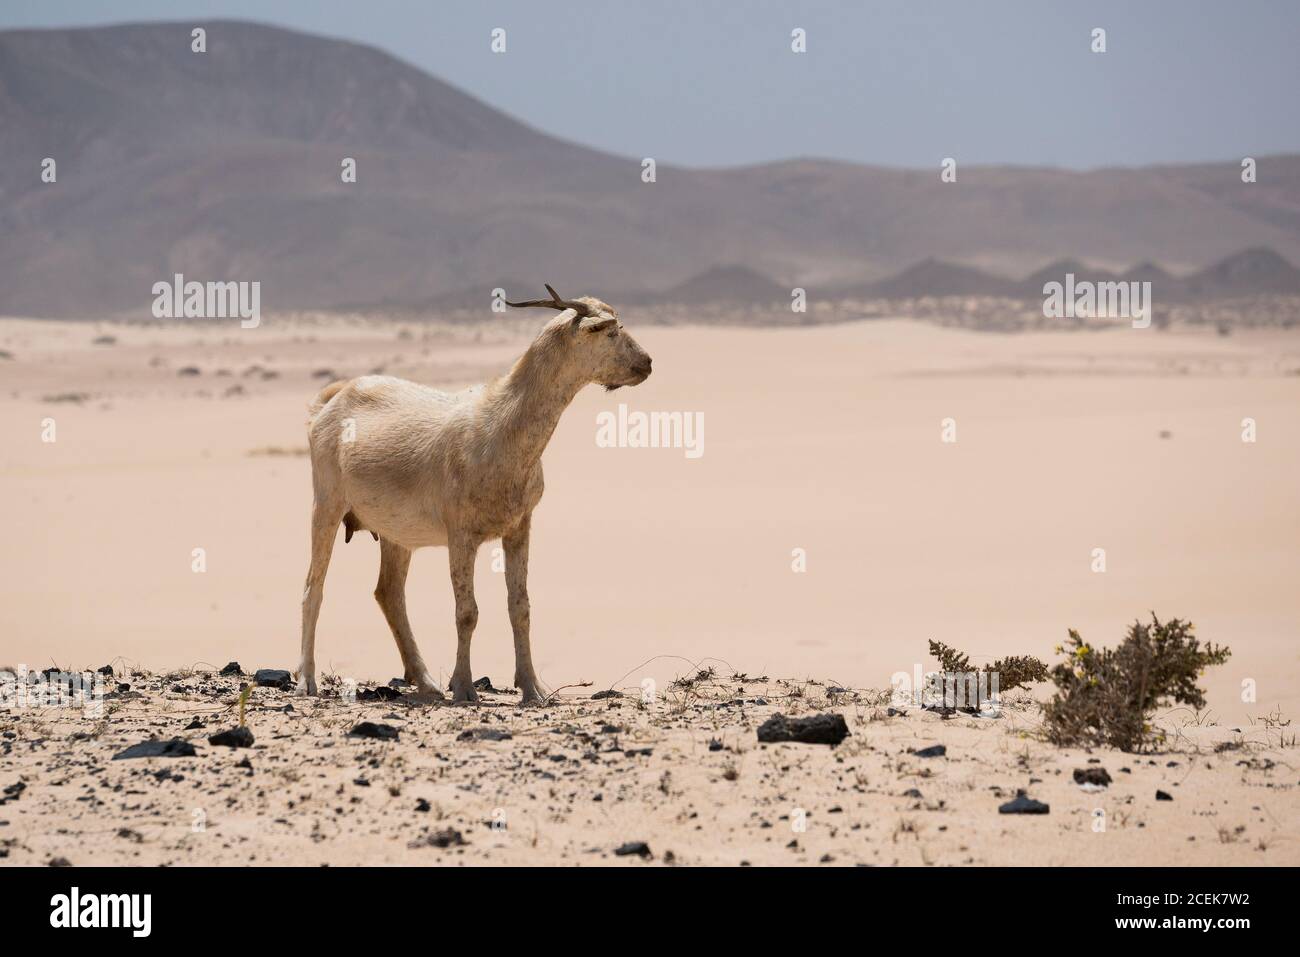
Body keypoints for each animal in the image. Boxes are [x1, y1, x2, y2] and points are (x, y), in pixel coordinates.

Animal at [296, 286, 653, 704]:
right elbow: (467, 611)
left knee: (389, 593)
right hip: (327, 503)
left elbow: (520, 607)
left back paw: (427, 683)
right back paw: (307, 680)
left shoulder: (519, 526)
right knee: (313, 587)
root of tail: (328, 403)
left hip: (395, 533)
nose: (646, 363)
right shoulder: (461, 534)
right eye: (611, 332)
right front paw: (464, 686)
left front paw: (532, 688)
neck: (499, 425)